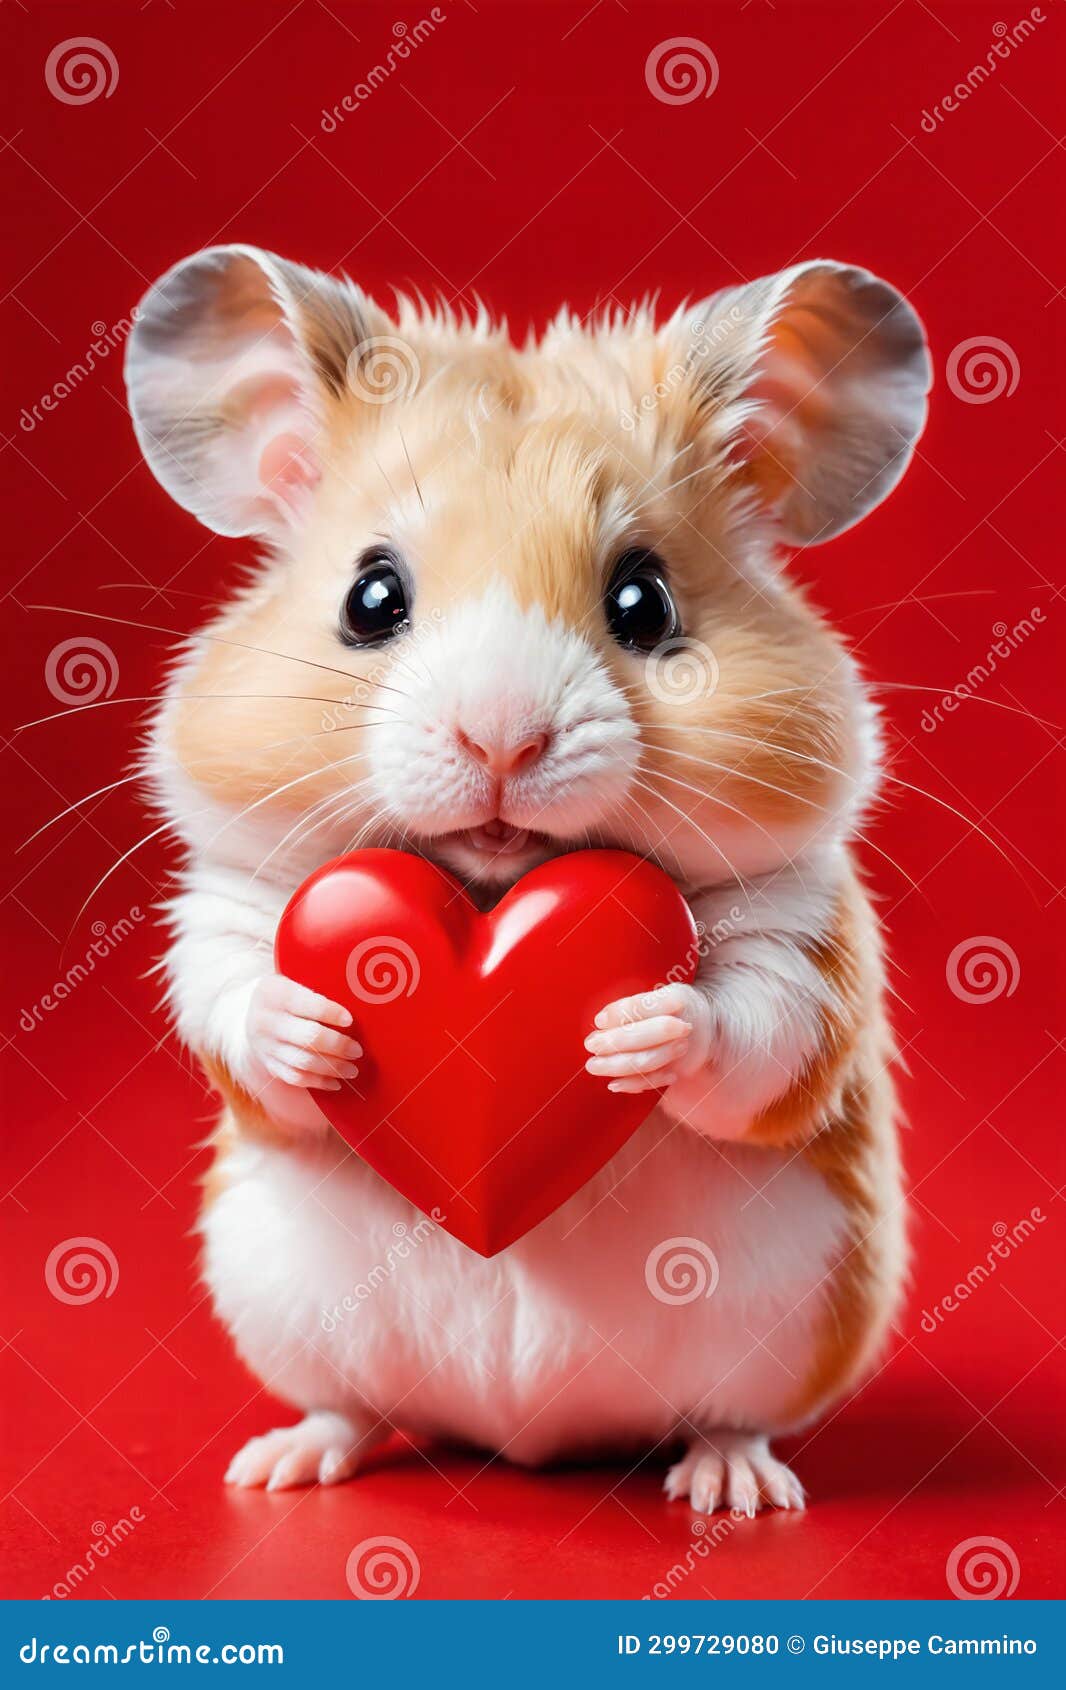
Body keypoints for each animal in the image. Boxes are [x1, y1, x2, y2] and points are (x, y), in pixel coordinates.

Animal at [125, 245, 929, 1511]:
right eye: (370, 598)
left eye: (644, 600)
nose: (498, 736)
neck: (494, 885)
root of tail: (525, 1437)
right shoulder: (229, 902)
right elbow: (235, 1003)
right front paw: (314, 1028)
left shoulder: (809, 937)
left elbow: (756, 1031)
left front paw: (635, 1031)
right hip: (278, 1300)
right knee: (353, 1406)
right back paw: (281, 1467)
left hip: (798, 1322)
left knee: (730, 1419)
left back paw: (733, 1488)